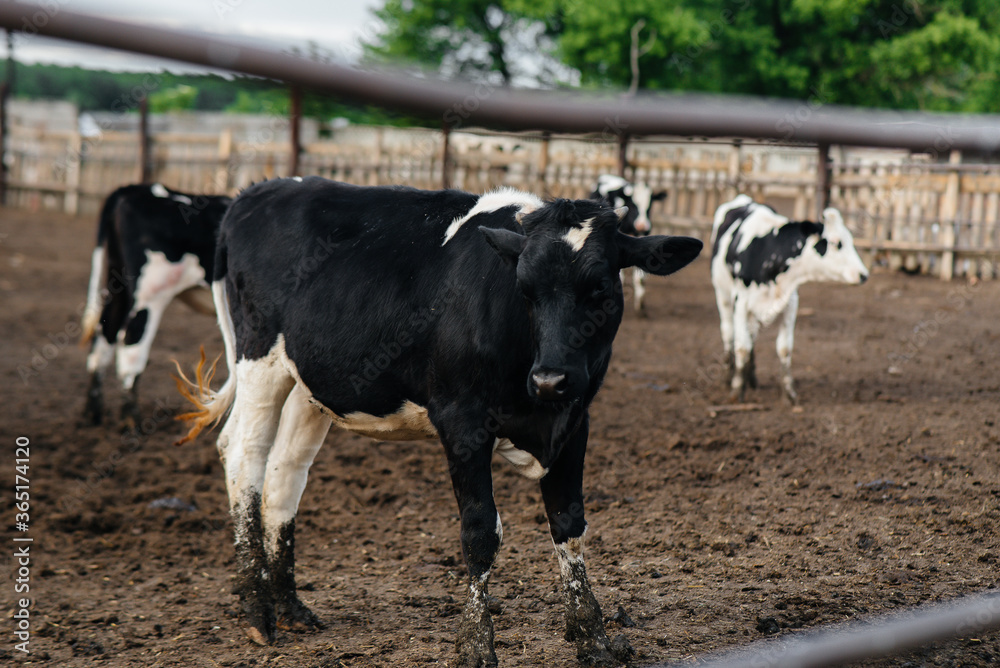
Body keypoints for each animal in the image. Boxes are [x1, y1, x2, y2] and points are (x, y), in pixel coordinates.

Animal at [80, 183, 231, 428]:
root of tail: (134, 189)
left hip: (118, 288)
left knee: (103, 340)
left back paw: (92, 415)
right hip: (150, 295)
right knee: (131, 349)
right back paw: (131, 423)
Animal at [711, 195, 868, 405]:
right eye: (836, 243)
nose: (864, 275)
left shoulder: (791, 302)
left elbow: (784, 348)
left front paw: (788, 394)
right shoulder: (741, 302)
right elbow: (742, 347)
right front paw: (736, 392)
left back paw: (752, 379)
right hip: (722, 295)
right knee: (728, 334)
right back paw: (729, 377)